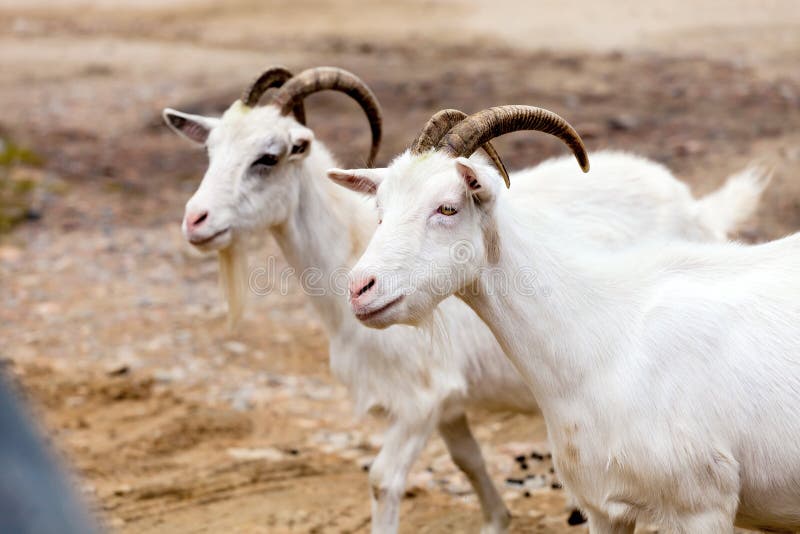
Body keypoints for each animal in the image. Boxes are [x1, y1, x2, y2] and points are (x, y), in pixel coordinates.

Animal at [334, 105, 800, 533]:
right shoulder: (603, 507)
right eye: (380, 209)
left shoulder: (700, 507)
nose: (360, 288)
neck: (599, 338)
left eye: (448, 208)